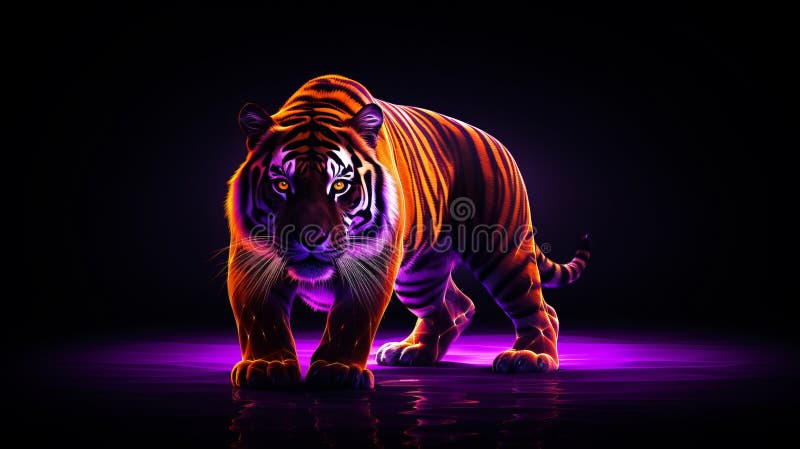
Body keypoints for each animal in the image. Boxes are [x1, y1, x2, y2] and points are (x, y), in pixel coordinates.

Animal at [226, 75, 590, 389]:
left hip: (502, 254)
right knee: (455, 307)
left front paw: (336, 370)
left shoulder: (370, 267)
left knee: (540, 309)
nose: (311, 237)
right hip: (419, 276)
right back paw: (413, 351)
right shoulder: (251, 262)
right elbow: (261, 319)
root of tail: (498, 143)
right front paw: (268, 366)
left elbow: (350, 320)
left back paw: (530, 356)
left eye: (340, 185)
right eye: (282, 185)